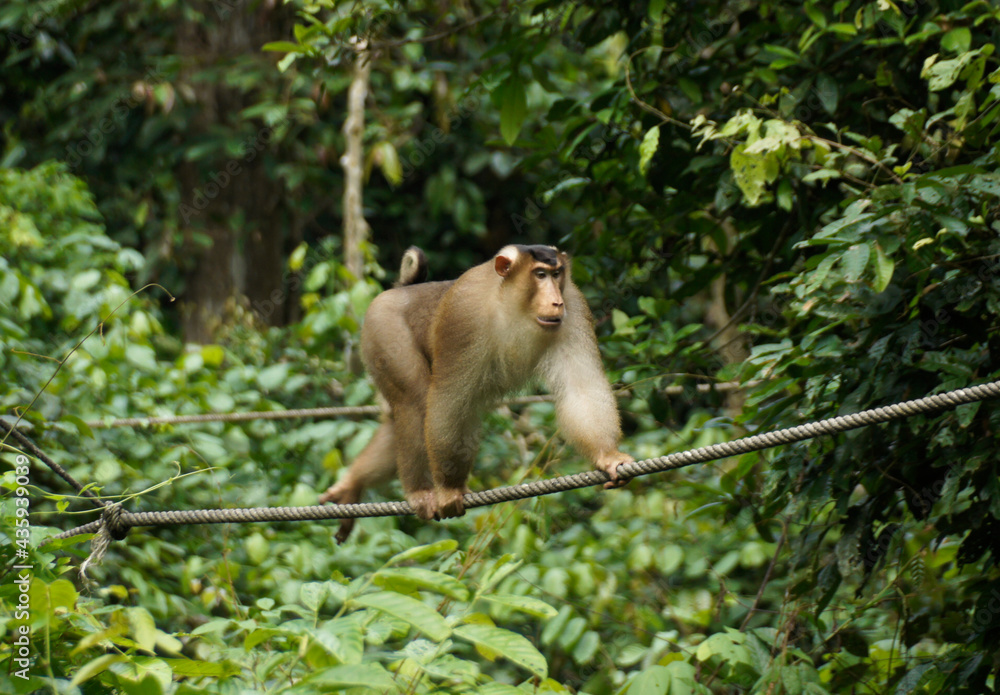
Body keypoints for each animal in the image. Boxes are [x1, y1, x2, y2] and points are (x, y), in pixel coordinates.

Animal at [319, 244, 633, 542]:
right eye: (540, 274)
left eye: (557, 275)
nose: (556, 300)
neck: (511, 304)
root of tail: (401, 290)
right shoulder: (464, 312)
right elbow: (450, 401)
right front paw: (449, 489)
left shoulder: (574, 307)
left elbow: (581, 388)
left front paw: (608, 456)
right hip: (382, 328)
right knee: (413, 403)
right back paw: (419, 491)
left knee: (397, 420)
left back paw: (353, 484)